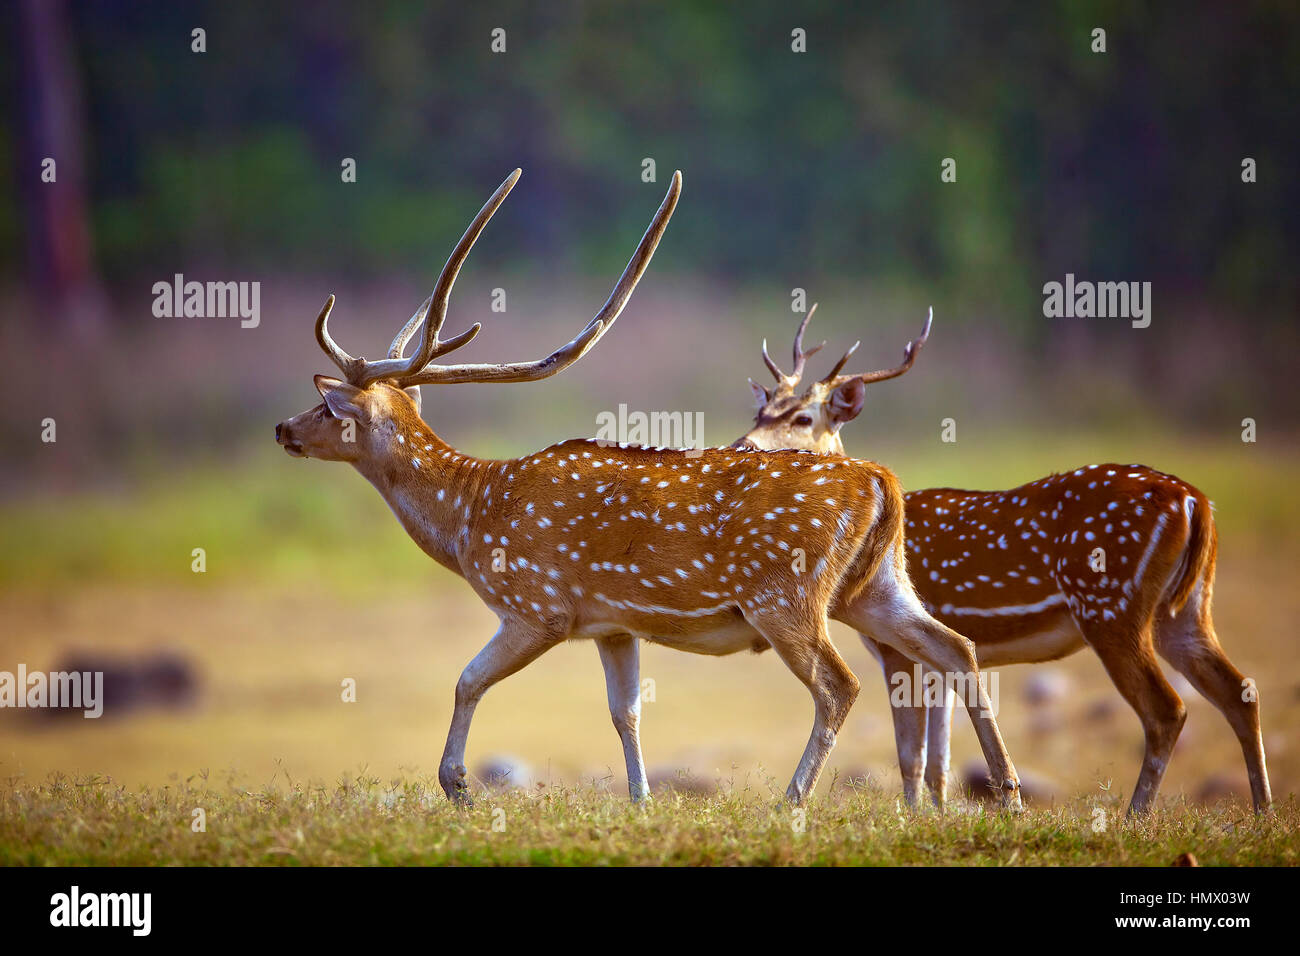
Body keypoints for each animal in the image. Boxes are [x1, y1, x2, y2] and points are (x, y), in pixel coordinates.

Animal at [274, 169, 1025, 810]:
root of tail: (882, 480)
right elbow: (625, 711)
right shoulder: (612, 624)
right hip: (877, 585)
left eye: (327, 408)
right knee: (955, 648)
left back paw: (792, 801)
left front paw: (456, 784)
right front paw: (639, 799)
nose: (284, 427)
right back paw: (1009, 794)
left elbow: (466, 679)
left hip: (786, 593)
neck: (467, 518)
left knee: (841, 684)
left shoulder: (537, 606)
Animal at [736, 306, 1272, 816]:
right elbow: (939, 760)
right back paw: (1262, 814)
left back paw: (1134, 817)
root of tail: (1196, 503)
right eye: (762, 409)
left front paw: (913, 816)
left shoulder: (894, 650)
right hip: (1185, 609)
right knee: (1240, 690)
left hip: (1112, 606)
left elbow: (912, 754)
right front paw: (936, 815)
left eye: (803, 417)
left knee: (1167, 709)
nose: (744, 444)